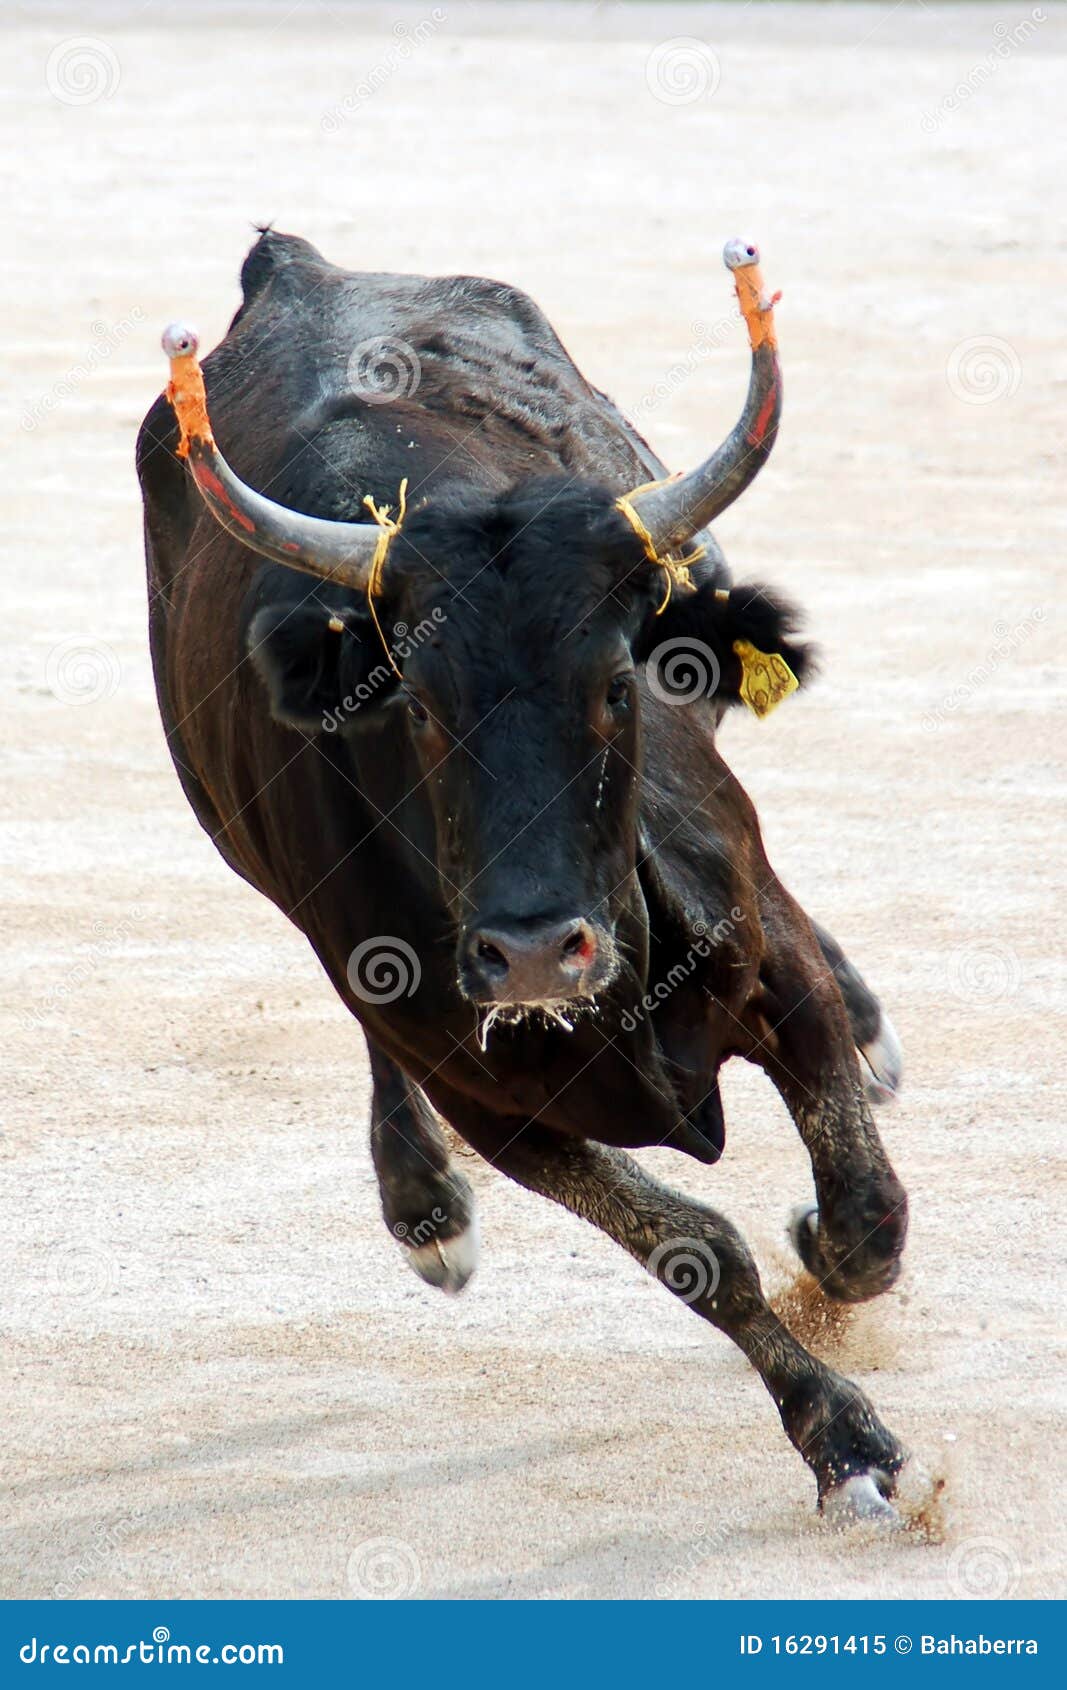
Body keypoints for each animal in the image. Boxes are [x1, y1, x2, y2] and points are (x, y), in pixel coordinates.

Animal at [138, 229, 910, 1524]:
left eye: (615, 682)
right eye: (416, 704)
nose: (538, 951)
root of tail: (290, 265)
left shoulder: (770, 960)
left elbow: (861, 1206)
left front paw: (821, 1248)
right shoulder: (490, 1107)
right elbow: (698, 1251)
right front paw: (844, 1442)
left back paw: (870, 1028)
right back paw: (422, 1207)